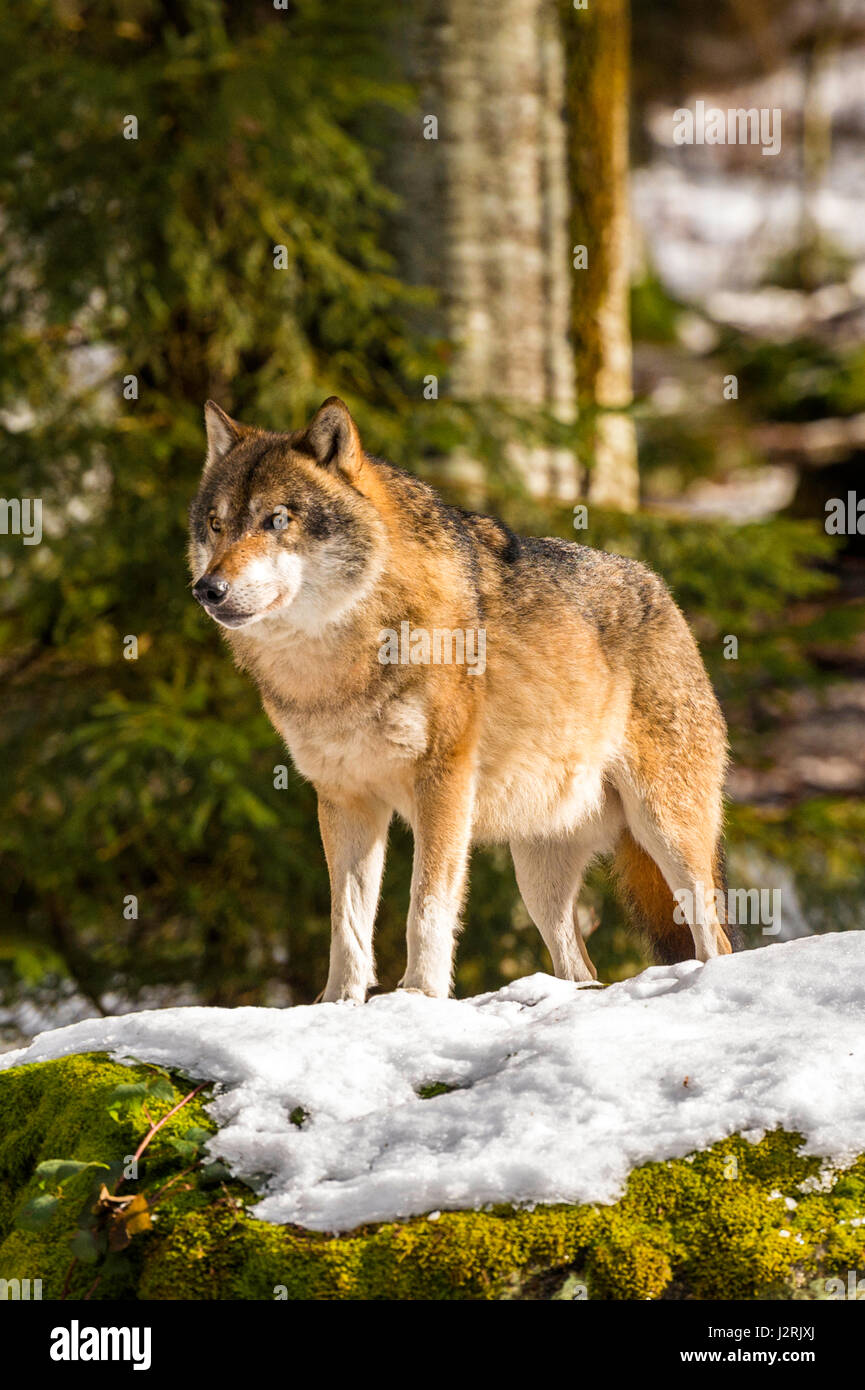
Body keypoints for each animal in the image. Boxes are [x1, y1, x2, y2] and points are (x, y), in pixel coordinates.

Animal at [189, 397, 741, 1001]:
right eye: (216, 525)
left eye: (277, 520)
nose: (207, 589)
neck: (338, 665)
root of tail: (664, 594)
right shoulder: (345, 799)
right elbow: (347, 923)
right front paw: (336, 1003)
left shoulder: (444, 783)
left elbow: (426, 906)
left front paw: (418, 995)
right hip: (538, 875)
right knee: (582, 967)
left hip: (665, 828)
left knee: (717, 939)